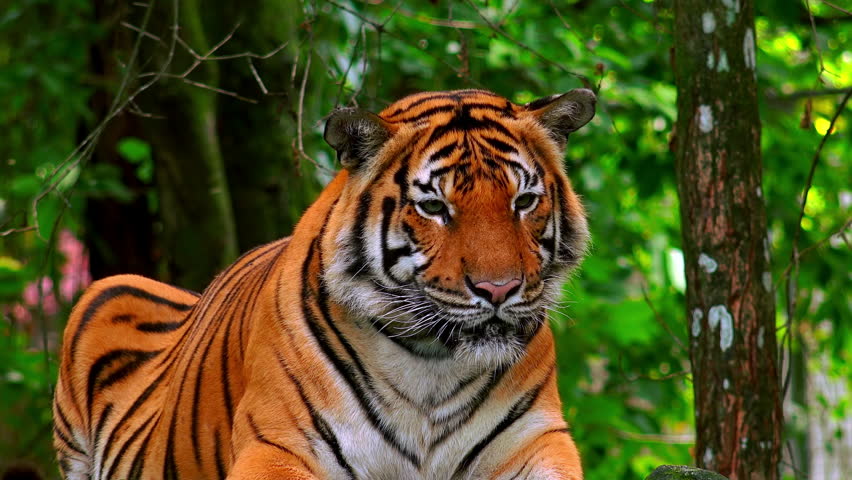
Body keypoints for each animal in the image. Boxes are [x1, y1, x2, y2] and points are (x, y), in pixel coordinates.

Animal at [53, 88, 596, 480]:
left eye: (523, 201)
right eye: (434, 207)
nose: (499, 290)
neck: (430, 365)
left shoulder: (536, 439)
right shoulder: (279, 445)